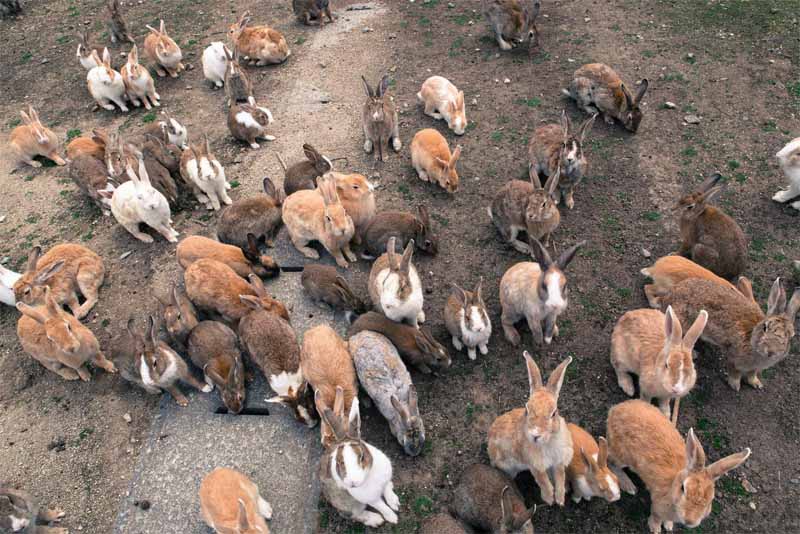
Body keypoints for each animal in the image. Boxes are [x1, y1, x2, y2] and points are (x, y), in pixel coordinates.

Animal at [316, 387, 401, 527]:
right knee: (354, 516)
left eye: (361, 457)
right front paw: (393, 518)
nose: (353, 482)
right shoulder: (372, 499)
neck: (369, 476)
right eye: (338, 463)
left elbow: (387, 491)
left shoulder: (384, 481)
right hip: (350, 504)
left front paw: (395, 502)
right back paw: (375, 519)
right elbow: (383, 507)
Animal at [488, 352, 573, 506]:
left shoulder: (558, 461)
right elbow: (542, 481)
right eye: (527, 409)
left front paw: (560, 499)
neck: (547, 442)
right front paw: (549, 498)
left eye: (554, 413)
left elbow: (560, 476)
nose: (535, 435)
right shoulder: (534, 465)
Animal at [607, 399, 751, 533]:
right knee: (611, 462)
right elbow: (656, 517)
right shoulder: (657, 506)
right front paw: (655, 529)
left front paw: (669, 526)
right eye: (683, 488)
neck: (672, 487)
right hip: (622, 454)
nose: (689, 521)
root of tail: (616, 409)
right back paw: (629, 485)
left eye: (711, 497)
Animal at [662, 276, 800, 391]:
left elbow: (752, 374)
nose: (771, 351)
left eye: (791, 336)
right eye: (765, 327)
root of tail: (669, 295)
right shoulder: (733, 356)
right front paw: (735, 386)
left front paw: (756, 383)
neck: (751, 339)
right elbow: (735, 372)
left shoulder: (754, 367)